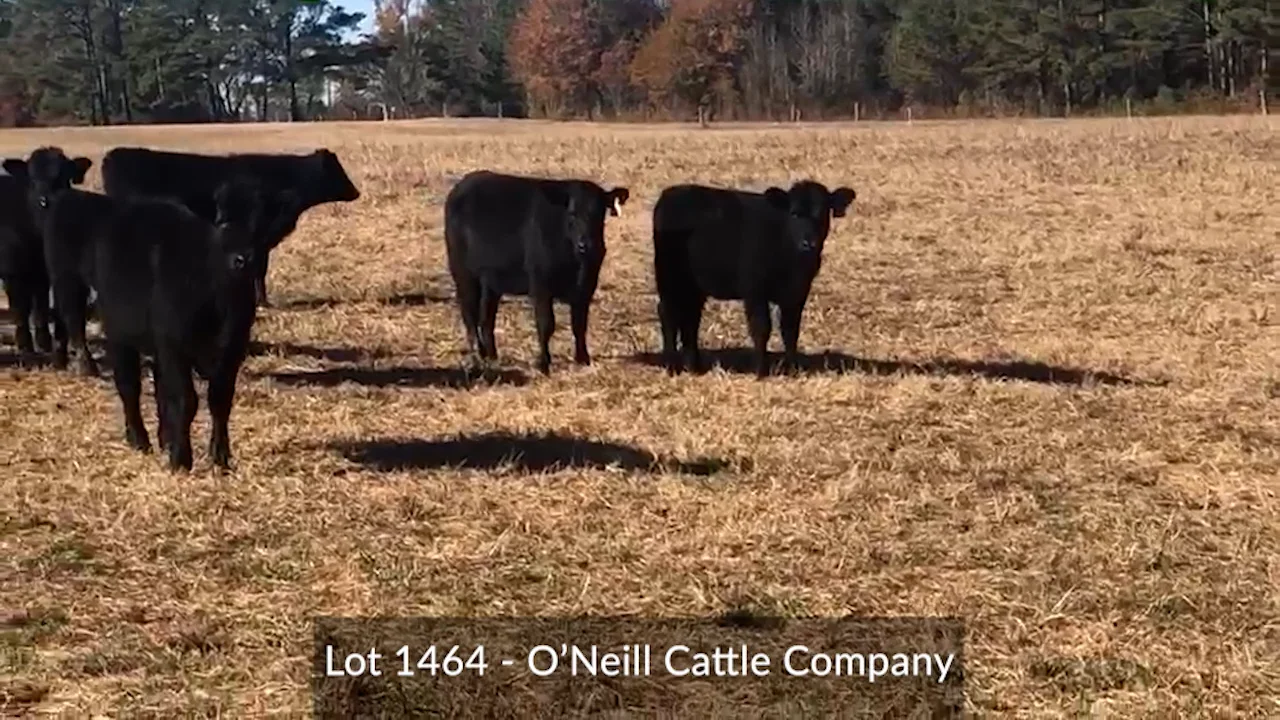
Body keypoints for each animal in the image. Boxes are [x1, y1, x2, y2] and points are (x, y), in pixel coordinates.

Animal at [0, 148, 92, 365]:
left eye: (64, 177)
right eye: (32, 178)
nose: (46, 200)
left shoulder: (44, 272)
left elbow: (42, 305)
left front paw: (45, 343)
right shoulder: (12, 272)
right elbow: (21, 310)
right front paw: (26, 348)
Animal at [443, 170, 629, 375]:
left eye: (598, 214)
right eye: (572, 214)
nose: (585, 244)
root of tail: (464, 183)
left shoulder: (586, 286)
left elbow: (579, 325)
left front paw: (583, 359)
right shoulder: (540, 284)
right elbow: (546, 323)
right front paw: (544, 363)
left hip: (491, 281)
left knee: (486, 319)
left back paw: (490, 355)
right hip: (463, 273)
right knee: (469, 314)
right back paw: (476, 355)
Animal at [651, 180, 856, 378]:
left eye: (822, 214)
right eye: (794, 214)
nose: (808, 244)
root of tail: (670, 194)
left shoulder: (797, 292)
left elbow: (790, 331)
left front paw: (792, 369)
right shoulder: (754, 290)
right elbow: (761, 328)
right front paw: (761, 371)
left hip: (694, 284)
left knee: (691, 318)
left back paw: (694, 367)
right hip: (668, 274)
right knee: (667, 312)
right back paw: (671, 366)